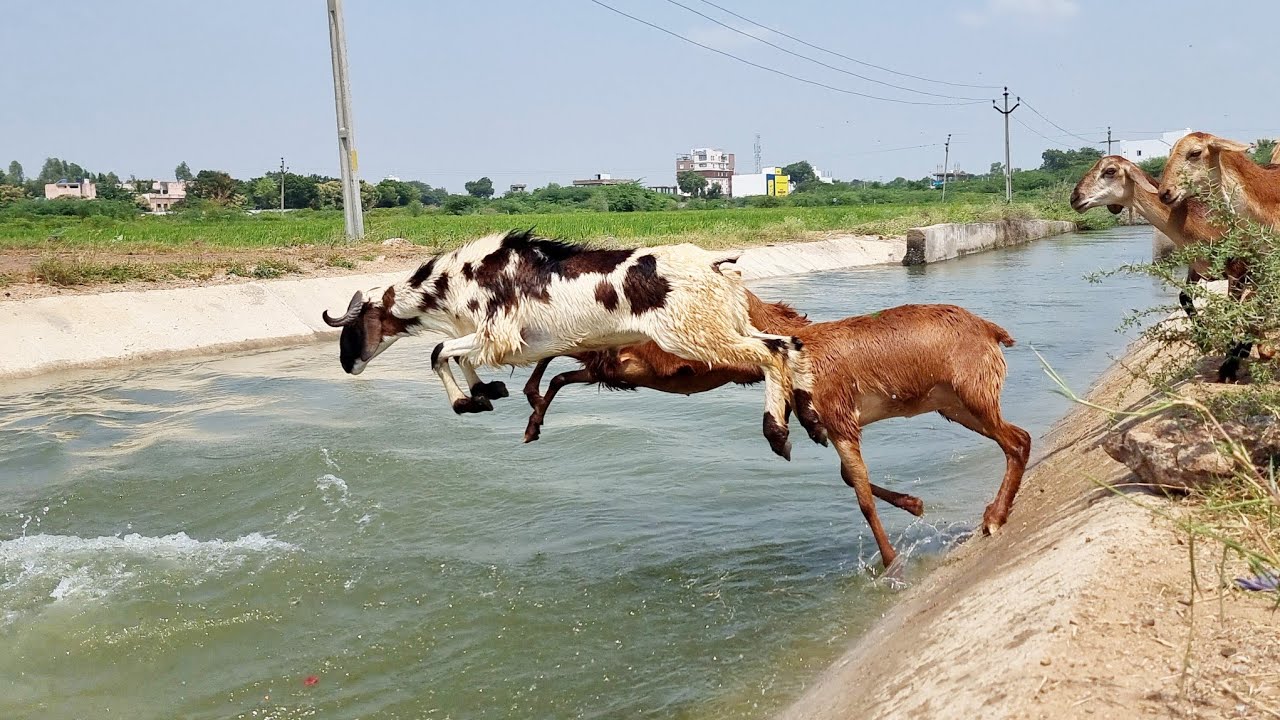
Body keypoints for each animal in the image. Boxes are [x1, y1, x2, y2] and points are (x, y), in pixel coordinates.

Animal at [321, 229, 826, 459]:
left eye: (352, 328)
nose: (346, 365)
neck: (451, 284)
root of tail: (718, 263)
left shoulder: (497, 332)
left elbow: (438, 352)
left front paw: (469, 401)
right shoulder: (511, 344)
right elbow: (462, 358)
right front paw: (485, 393)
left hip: (696, 335)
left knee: (771, 352)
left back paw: (777, 433)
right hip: (725, 325)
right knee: (789, 344)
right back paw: (813, 423)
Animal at [523, 300, 1030, 569]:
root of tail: (990, 330)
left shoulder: (840, 419)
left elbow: (861, 494)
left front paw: (891, 563)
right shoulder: (832, 423)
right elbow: (853, 483)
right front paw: (914, 507)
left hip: (971, 395)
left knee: (1016, 440)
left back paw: (993, 517)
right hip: (954, 406)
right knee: (1019, 437)